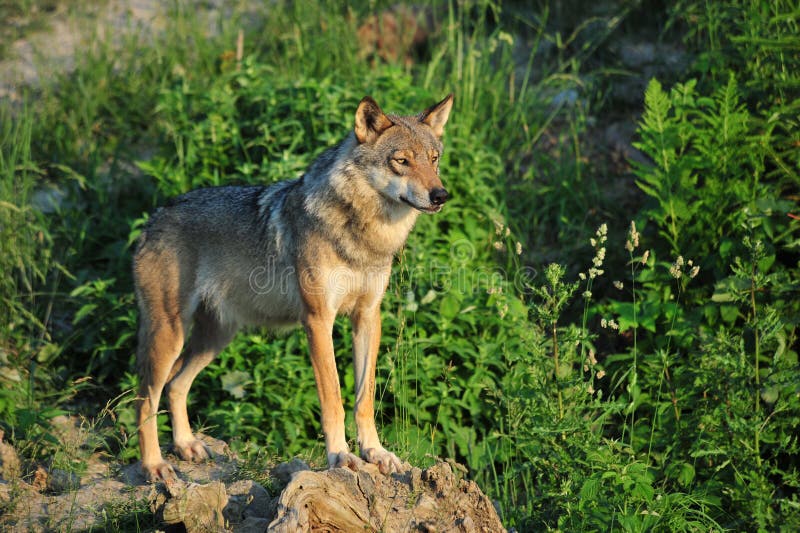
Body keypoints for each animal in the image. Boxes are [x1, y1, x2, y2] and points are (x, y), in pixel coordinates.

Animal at [133, 93, 453, 482]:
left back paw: (186, 445)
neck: (364, 235)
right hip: (171, 335)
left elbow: (364, 399)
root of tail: (153, 219)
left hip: (216, 337)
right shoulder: (318, 321)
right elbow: (333, 399)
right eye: (402, 161)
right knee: (144, 398)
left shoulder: (368, 317)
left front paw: (376, 453)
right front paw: (341, 456)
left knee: (176, 384)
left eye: (433, 159)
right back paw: (154, 465)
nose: (440, 195)